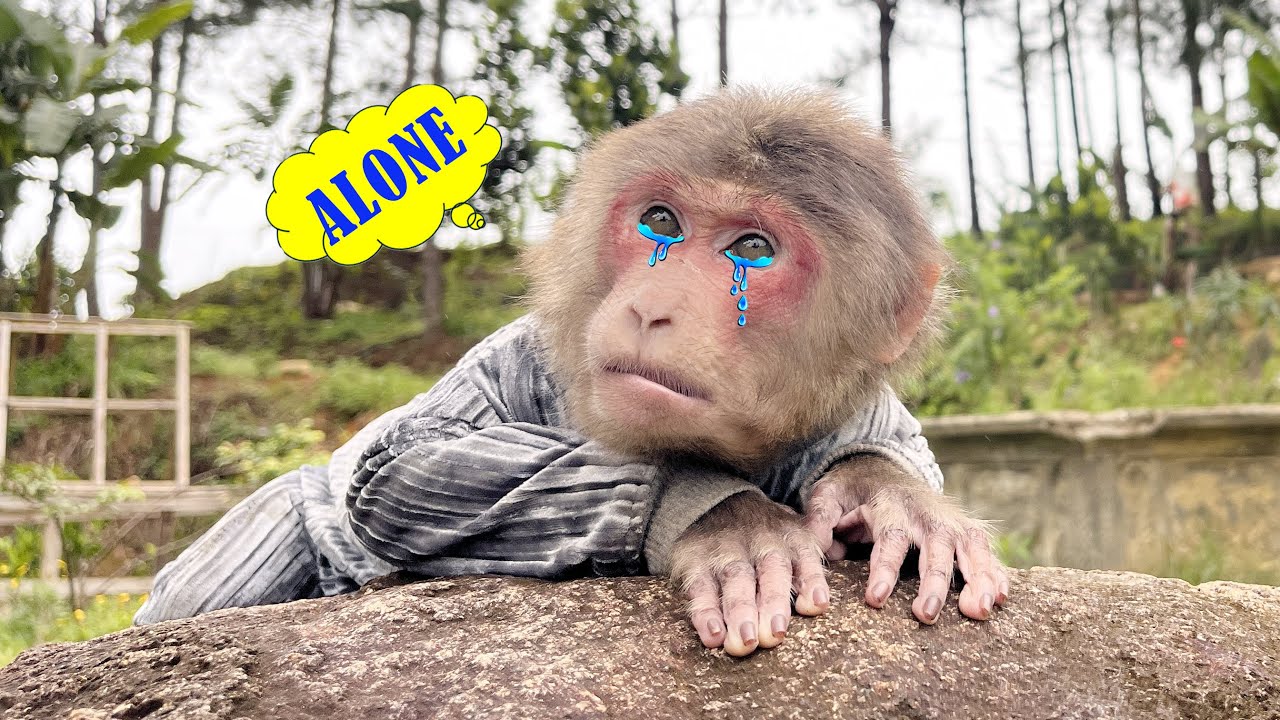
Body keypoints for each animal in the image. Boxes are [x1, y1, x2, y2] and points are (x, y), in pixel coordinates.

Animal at [134, 87, 1008, 659]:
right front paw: (721, 515)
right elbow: (401, 471)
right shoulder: (521, 360)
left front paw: (889, 492)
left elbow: (887, 435)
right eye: (661, 222)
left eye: (753, 249)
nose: (652, 306)